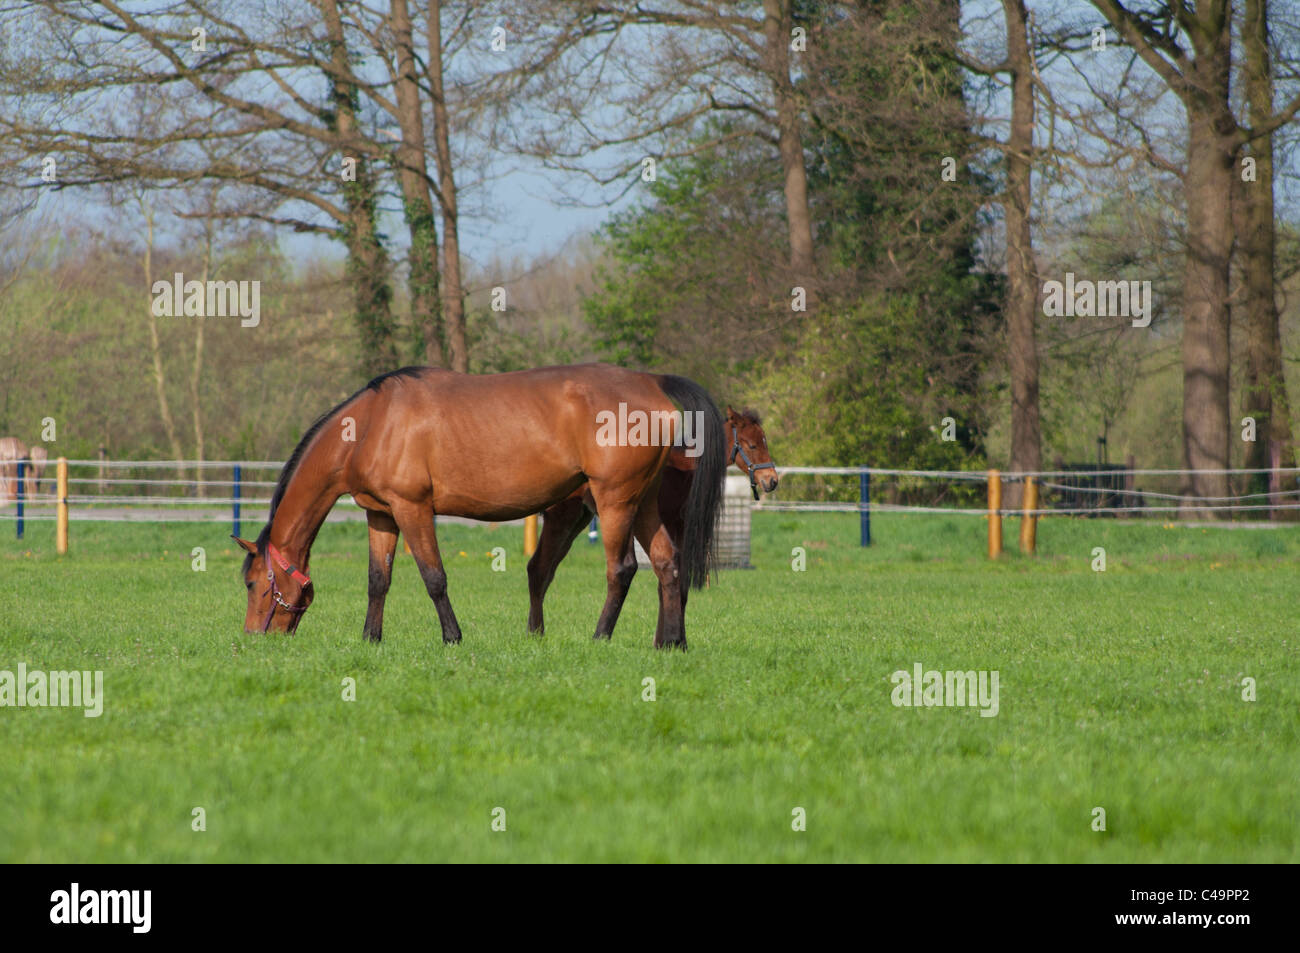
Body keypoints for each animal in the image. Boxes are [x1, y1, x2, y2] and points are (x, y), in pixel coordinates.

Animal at [234, 364, 727, 649]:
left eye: (254, 584)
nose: (255, 638)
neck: (374, 423)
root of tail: (652, 382)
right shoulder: (382, 514)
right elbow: (378, 580)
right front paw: (371, 638)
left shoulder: (413, 509)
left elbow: (434, 578)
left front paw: (452, 637)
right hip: (641, 503)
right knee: (667, 565)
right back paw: (671, 642)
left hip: (614, 501)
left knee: (622, 569)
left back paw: (600, 637)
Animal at [526, 407, 778, 641]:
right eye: (752, 445)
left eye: (764, 441)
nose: (772, 480)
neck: (686, 468)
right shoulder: (668, 525)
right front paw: (666, 640)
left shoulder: (679, 528)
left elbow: (677, 582)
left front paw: (670, 641)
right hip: (563, 517)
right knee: (539, 568)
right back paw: (535, 633)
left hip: (579, 520)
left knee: (545, 569)